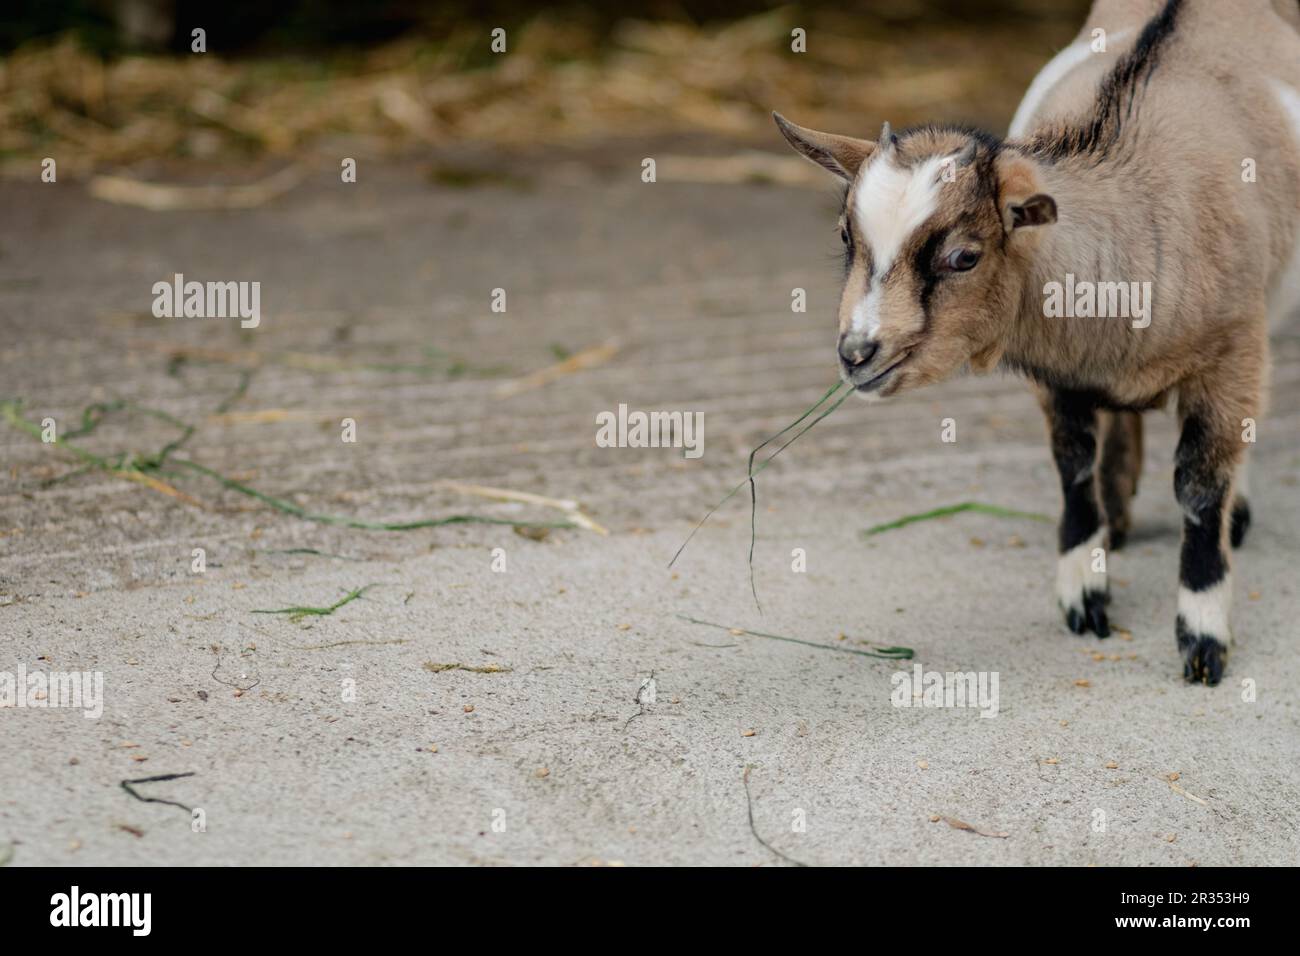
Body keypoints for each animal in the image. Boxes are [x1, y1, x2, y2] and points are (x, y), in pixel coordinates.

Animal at [773, 0, 1300, 685]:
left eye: (964, 257)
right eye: (844, 237)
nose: (858, 353)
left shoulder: (1230, 355)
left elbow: (1200, 488)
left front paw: (1204, 641)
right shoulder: (1061, 375)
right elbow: (1072, 467)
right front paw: (1085, 591)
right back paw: (1118, 509)